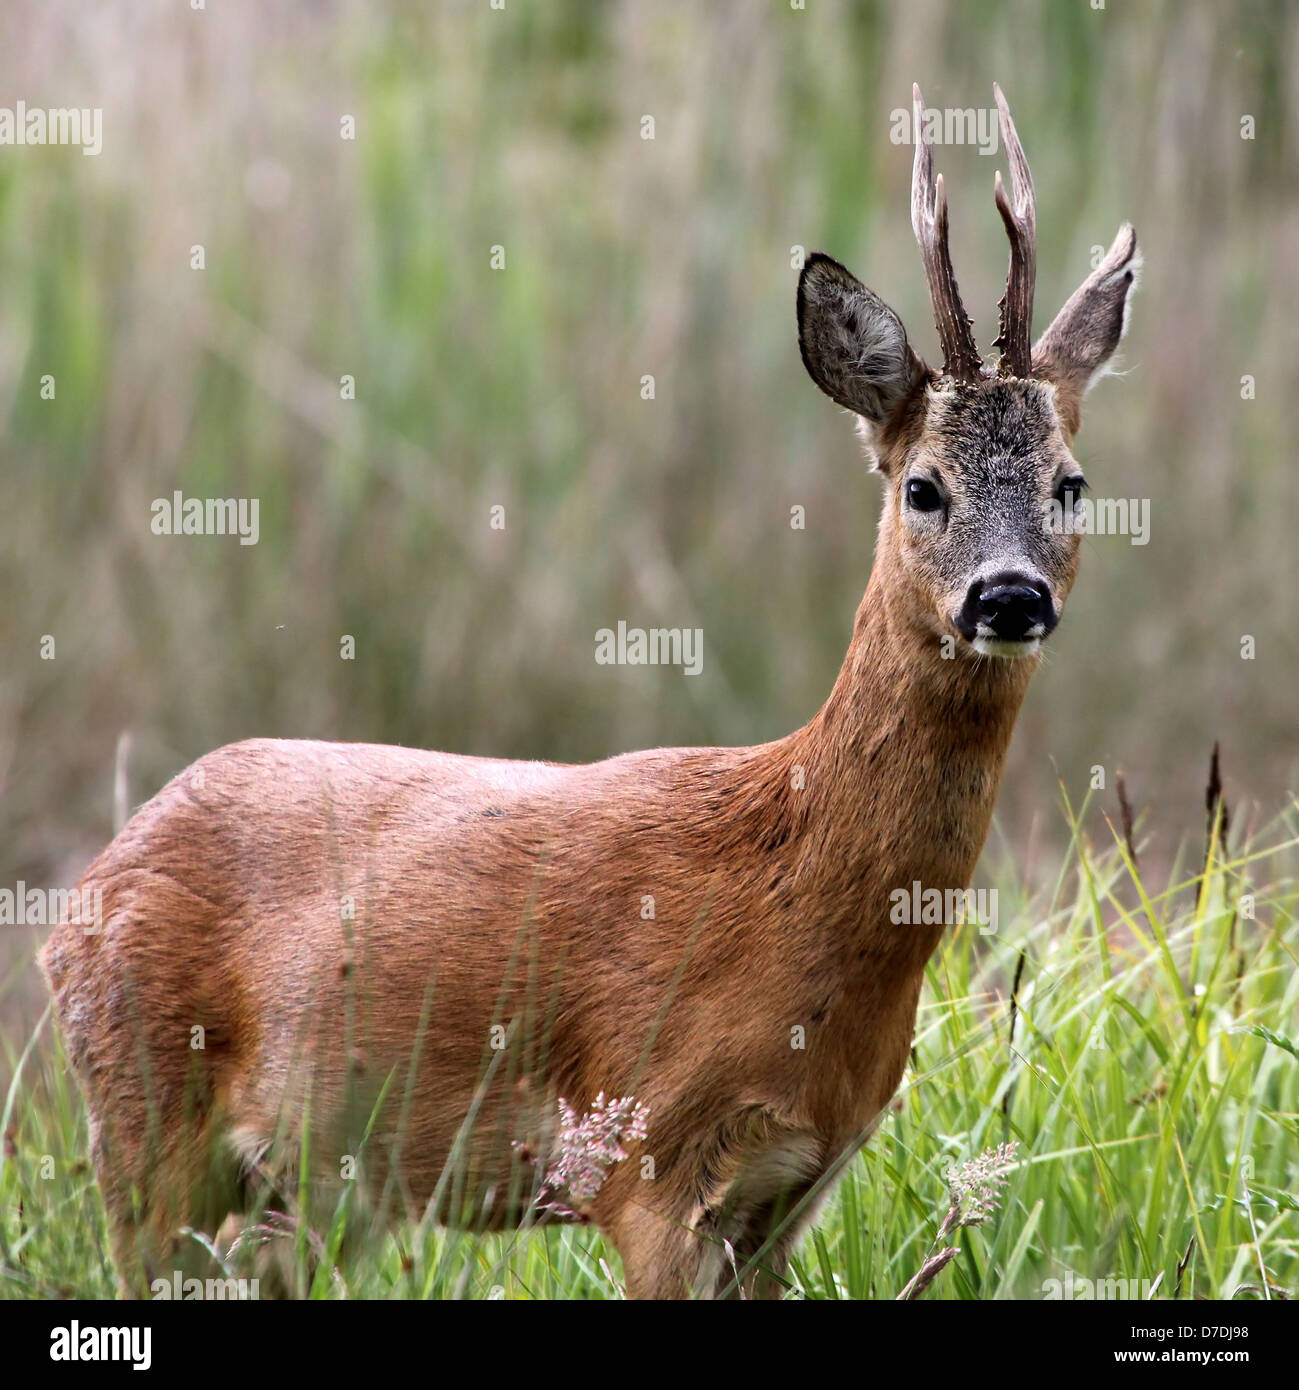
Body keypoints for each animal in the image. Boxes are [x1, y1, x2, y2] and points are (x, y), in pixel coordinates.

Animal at [41, 85, 1137, 1300]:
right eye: (922, 487)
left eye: (1072, 484)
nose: (1008, 596)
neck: (798, 887)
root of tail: (92, 880)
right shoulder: (646, 1154)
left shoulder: (791, 1192)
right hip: (143, 1125)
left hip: (305, 1190)